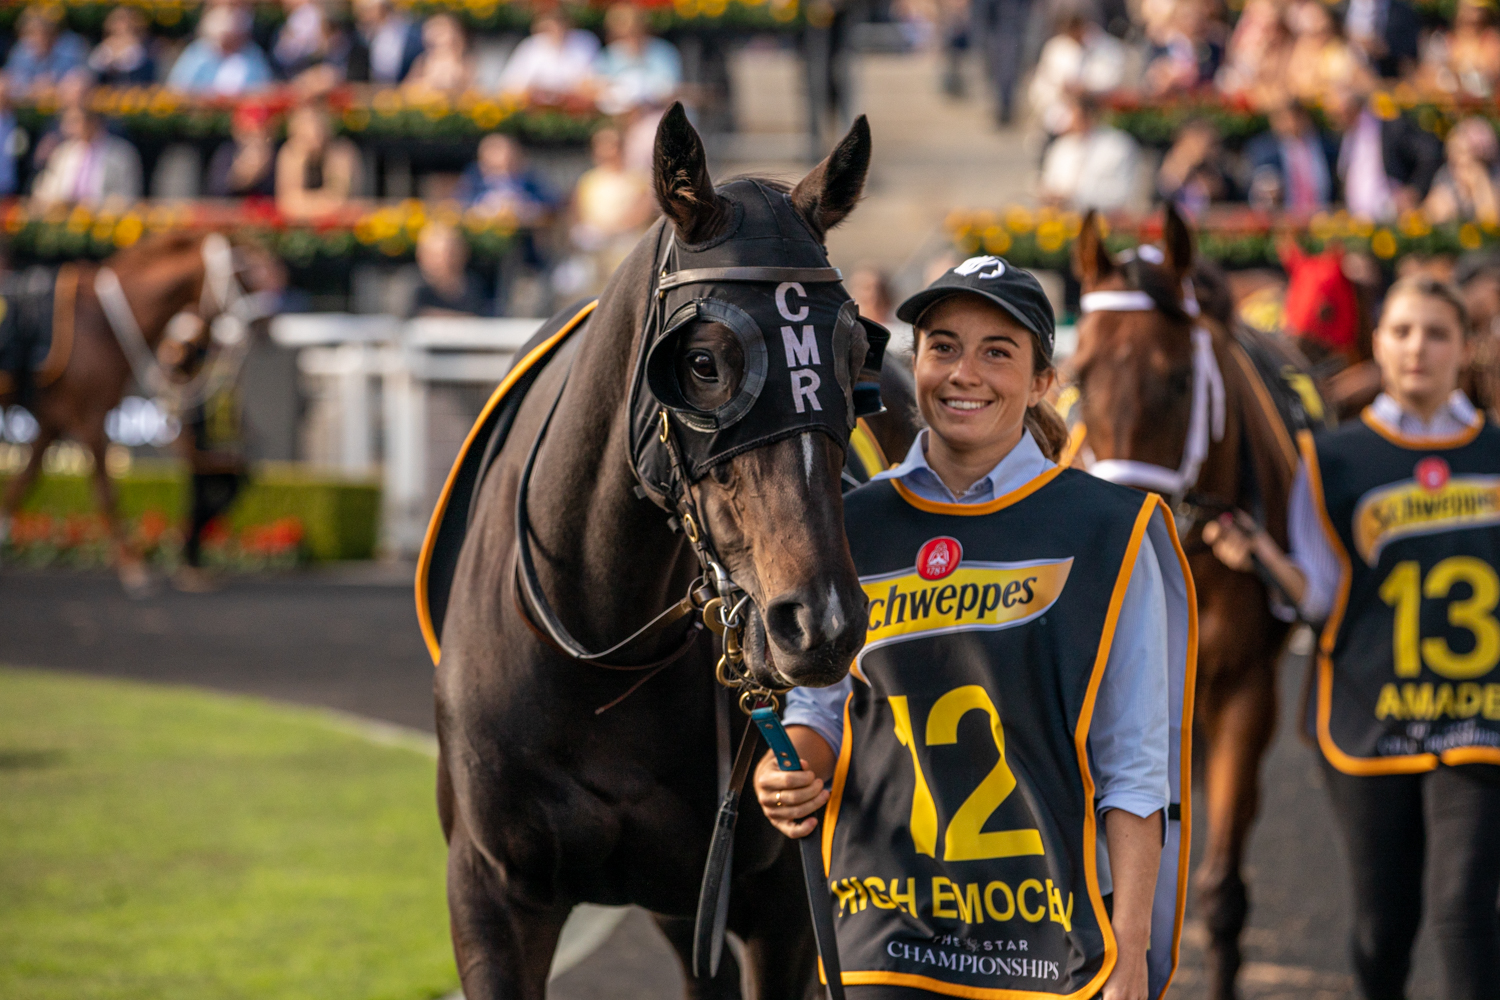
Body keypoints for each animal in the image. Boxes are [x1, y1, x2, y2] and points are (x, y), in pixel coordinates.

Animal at [0, 230, 282, 591]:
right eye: (248, 271)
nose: (269, 323)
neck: (101, 321)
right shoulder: (89, 415)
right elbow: (106, 492)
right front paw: (132, 566)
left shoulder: (54, 419)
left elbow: (22, 484)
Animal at [431, 105, 889, 1000]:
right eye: (703, 362)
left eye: (856, 357)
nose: (818, 621)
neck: (603, 660)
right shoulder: (490, 894)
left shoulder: (781, 906)